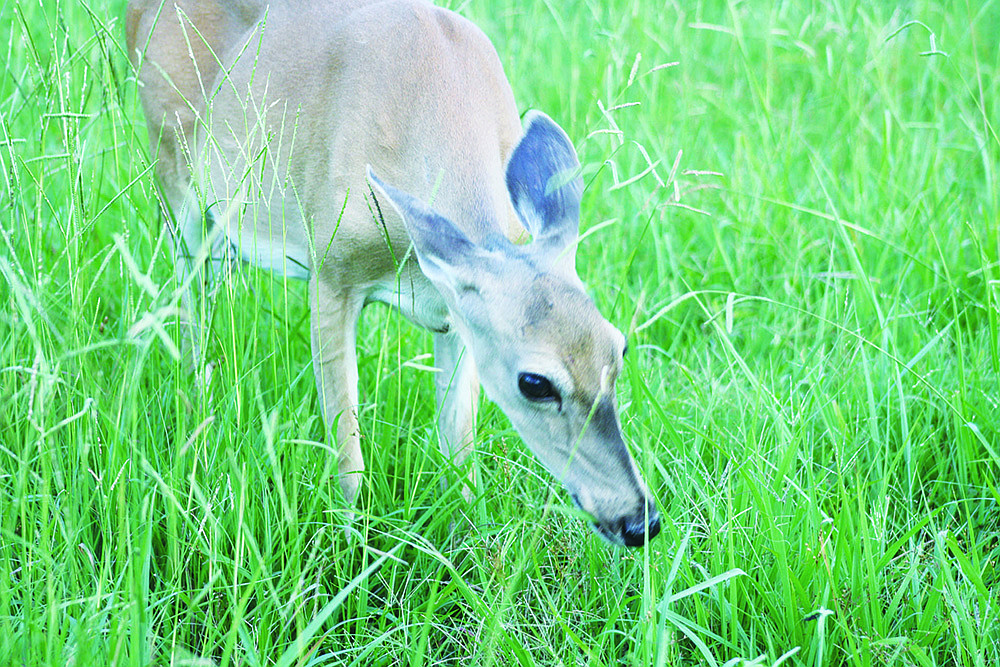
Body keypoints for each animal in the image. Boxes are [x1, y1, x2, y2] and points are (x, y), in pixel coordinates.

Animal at [127, 0, 661, 546]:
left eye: (619, 348)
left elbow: (459, 450)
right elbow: (348, 456)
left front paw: (467, 541)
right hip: (172, 173)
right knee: (188, 318)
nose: (641, 520)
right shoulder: (331, 269)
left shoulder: (456, 310)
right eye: (535, 382)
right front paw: (352, 545)